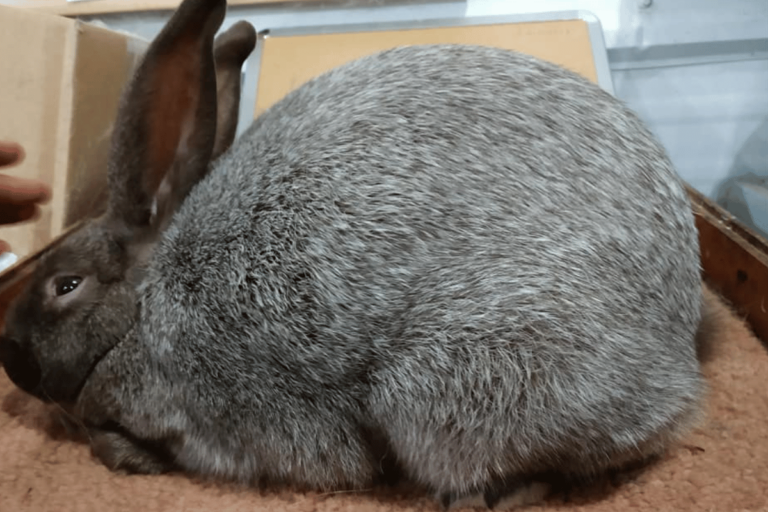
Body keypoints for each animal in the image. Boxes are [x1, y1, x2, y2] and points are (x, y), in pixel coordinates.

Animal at [0, 0, 708, 508]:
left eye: (66, 285)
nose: (10, 357)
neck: (139, 312)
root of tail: (679, 346)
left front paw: (130, 458)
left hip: (449, 389)